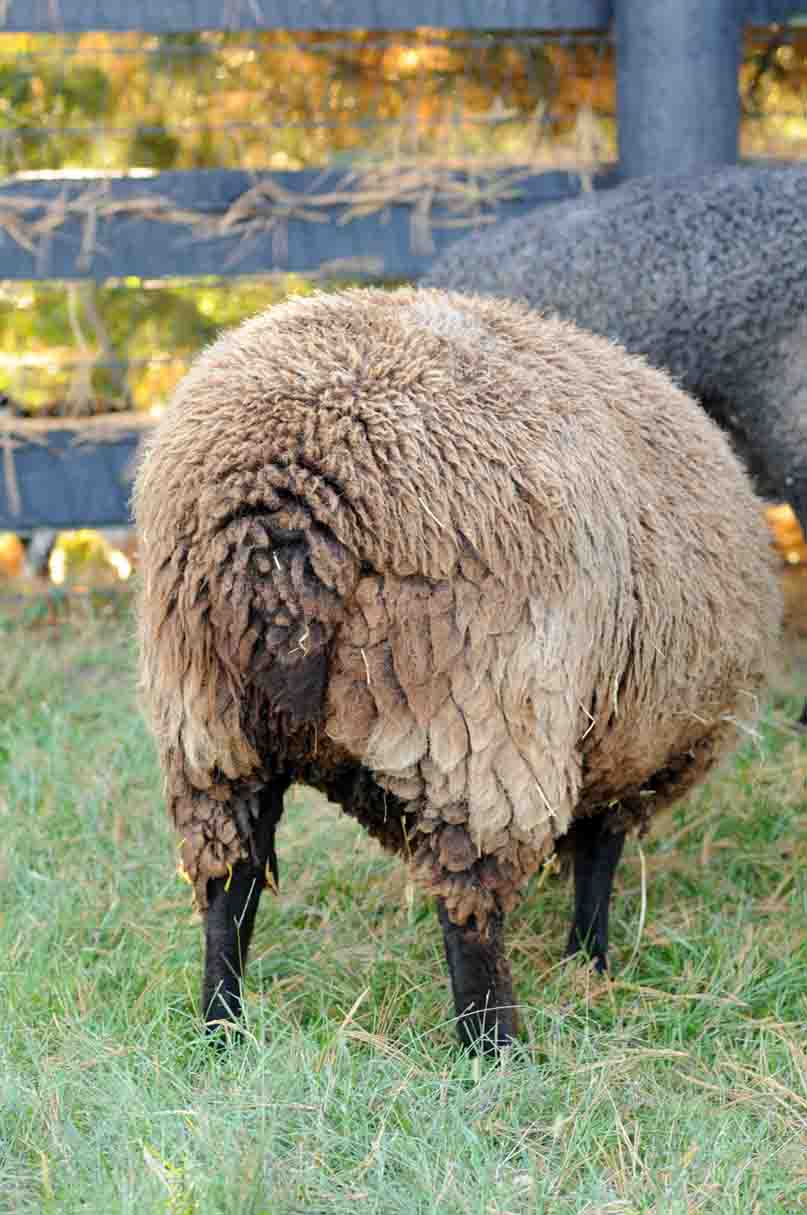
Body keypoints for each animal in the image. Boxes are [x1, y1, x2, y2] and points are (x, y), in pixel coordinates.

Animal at [133, 286, 781, 1052]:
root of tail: (283, 508)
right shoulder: (624, 742)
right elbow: (599, 859)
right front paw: (588, 959)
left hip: (208, 723)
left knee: (229, 884)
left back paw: (220, 1025)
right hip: (475, 718)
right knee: (468, 905)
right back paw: (494, 1044)